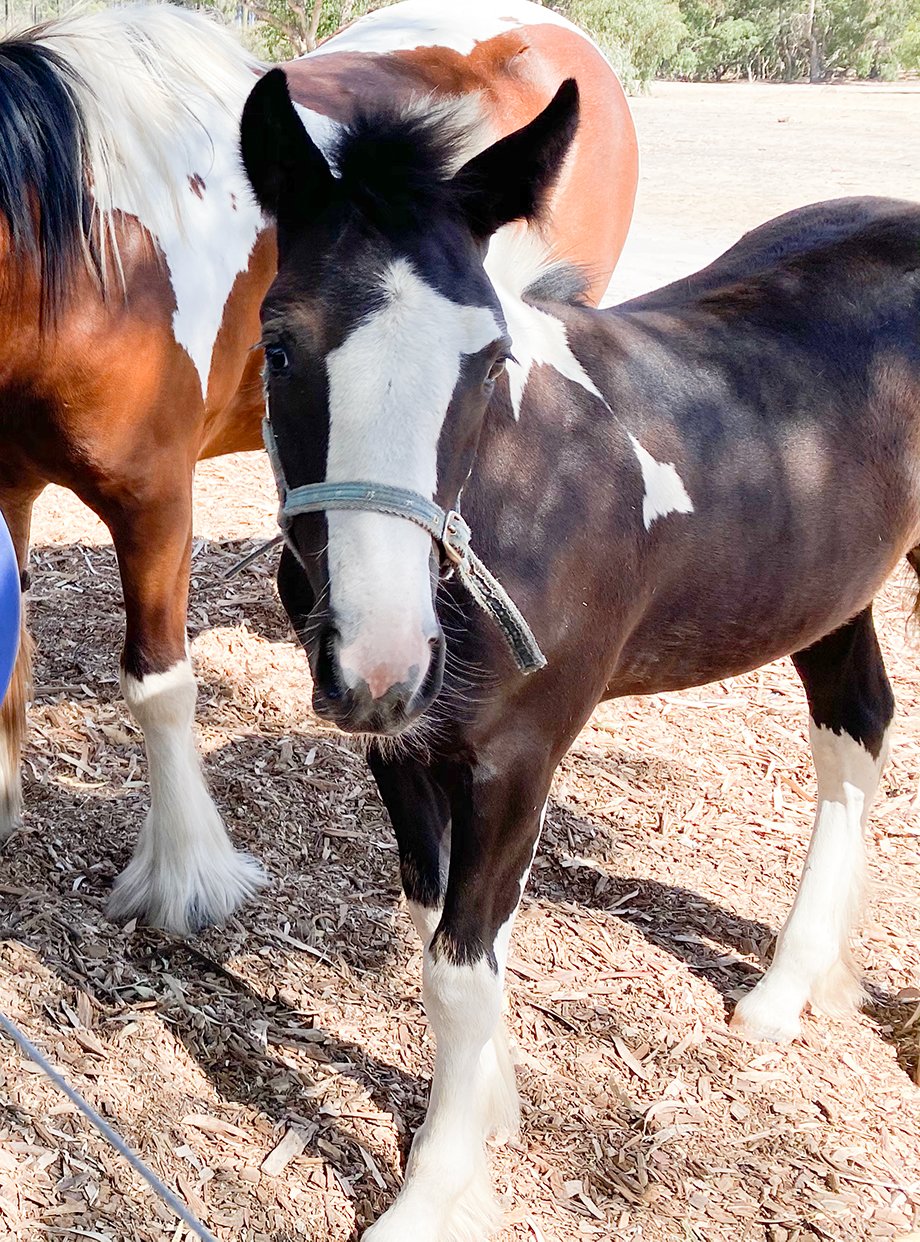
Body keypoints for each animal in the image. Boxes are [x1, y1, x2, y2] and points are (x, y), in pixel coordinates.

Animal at [240, 66, 920, 1239]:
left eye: (487, 360)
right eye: (279, 344)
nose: (380, 661)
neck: (519, 497)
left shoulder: (518, 755)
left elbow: (458, 961)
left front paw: (436, 1191)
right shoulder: (404, 751)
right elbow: (444, 930)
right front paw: (491, 1113)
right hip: (829, 589)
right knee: (856, 725)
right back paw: (789, 992)